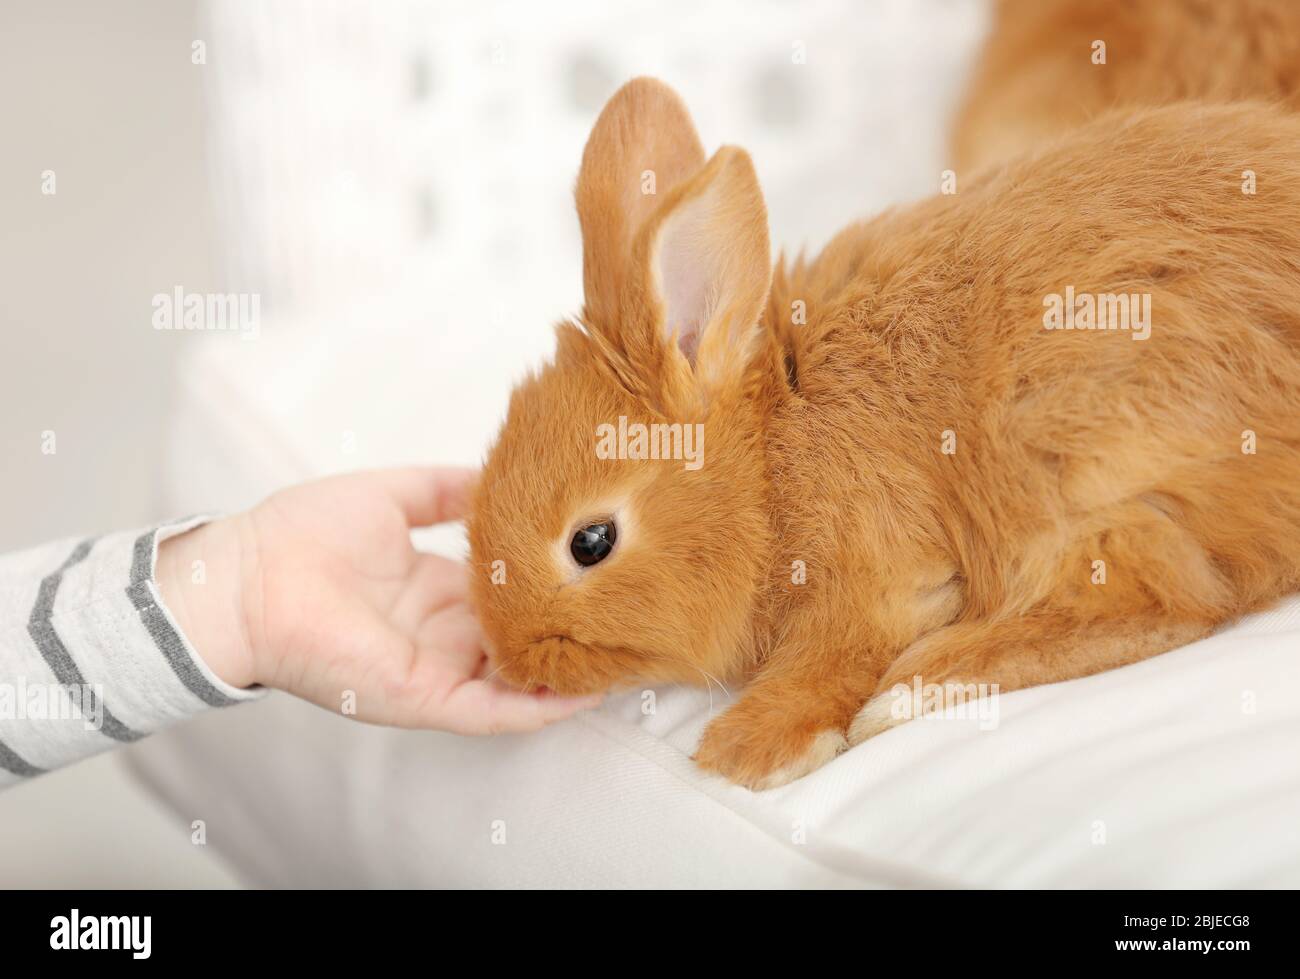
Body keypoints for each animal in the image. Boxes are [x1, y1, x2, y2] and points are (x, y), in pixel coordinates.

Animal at [466, 65, 1300, 789]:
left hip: (1076, 462)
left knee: (1172, 599)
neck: (770, 457)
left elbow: (832, 656)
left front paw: (753, 750)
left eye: (591, 541)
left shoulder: (878, 575)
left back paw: (911, 691)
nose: (513, 663)